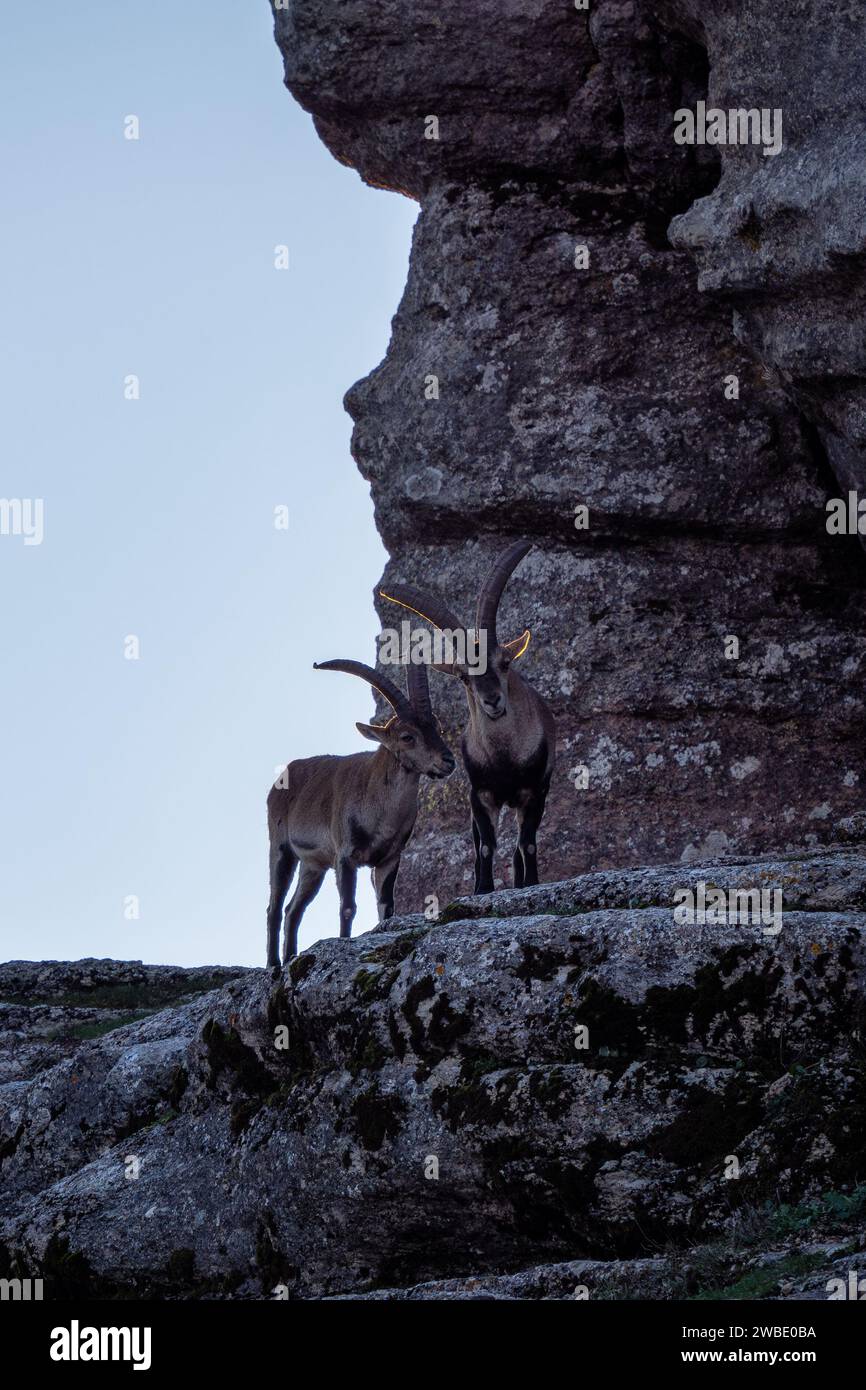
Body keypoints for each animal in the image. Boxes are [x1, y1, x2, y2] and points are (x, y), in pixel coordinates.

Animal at [266, 658, 455, 967]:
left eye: (436, 726)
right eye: (407, 736)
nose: (448, 760)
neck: (379, 809)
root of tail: (280, 781)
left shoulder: (389, 858)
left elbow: (386, 905)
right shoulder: (346, 856)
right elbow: (347, 907)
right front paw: (344, 944)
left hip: (313, 866)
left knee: (293, 909)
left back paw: (291, 957)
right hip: (281, 850)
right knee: (274, 905)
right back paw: (273, 964)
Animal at [381, 541, 555, 894]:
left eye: (505, 663)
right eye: (463, 677)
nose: (492, 701)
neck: (505, 758)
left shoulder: (535, 791)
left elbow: (527, 842)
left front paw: (531, 883)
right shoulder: (480, 796)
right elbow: (485, 845)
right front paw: (483, 889)